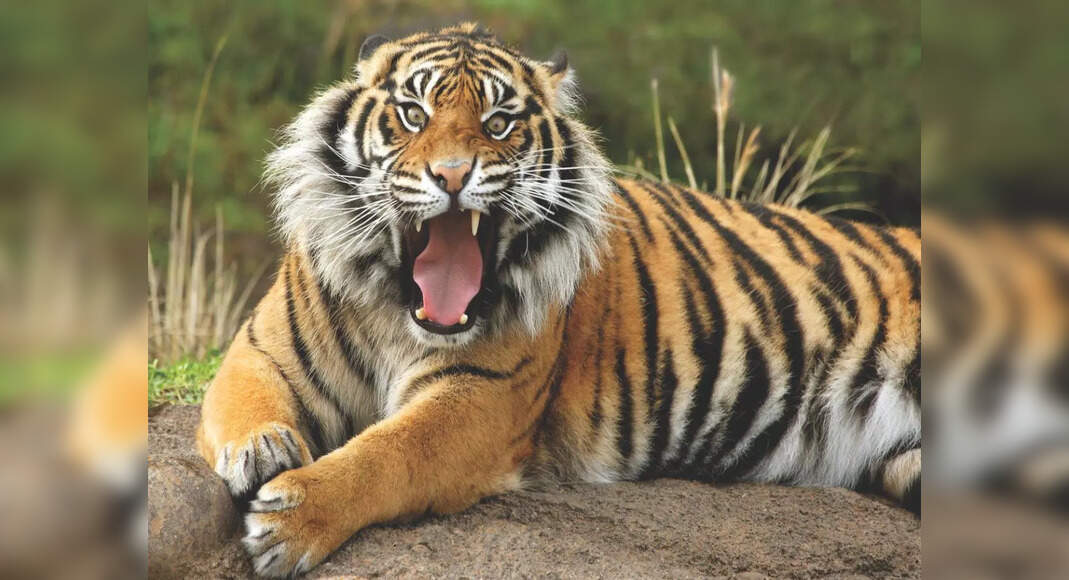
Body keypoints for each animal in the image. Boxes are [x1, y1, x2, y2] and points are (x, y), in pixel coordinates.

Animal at [195, 23, 921, 577]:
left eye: (497, 123)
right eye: (414, 115)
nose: (452, 175)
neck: (396, 310)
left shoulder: (478, 397)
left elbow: (386, 454)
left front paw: (291, 521)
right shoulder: (260, 349)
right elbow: (244, 402)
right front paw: (261, 451)